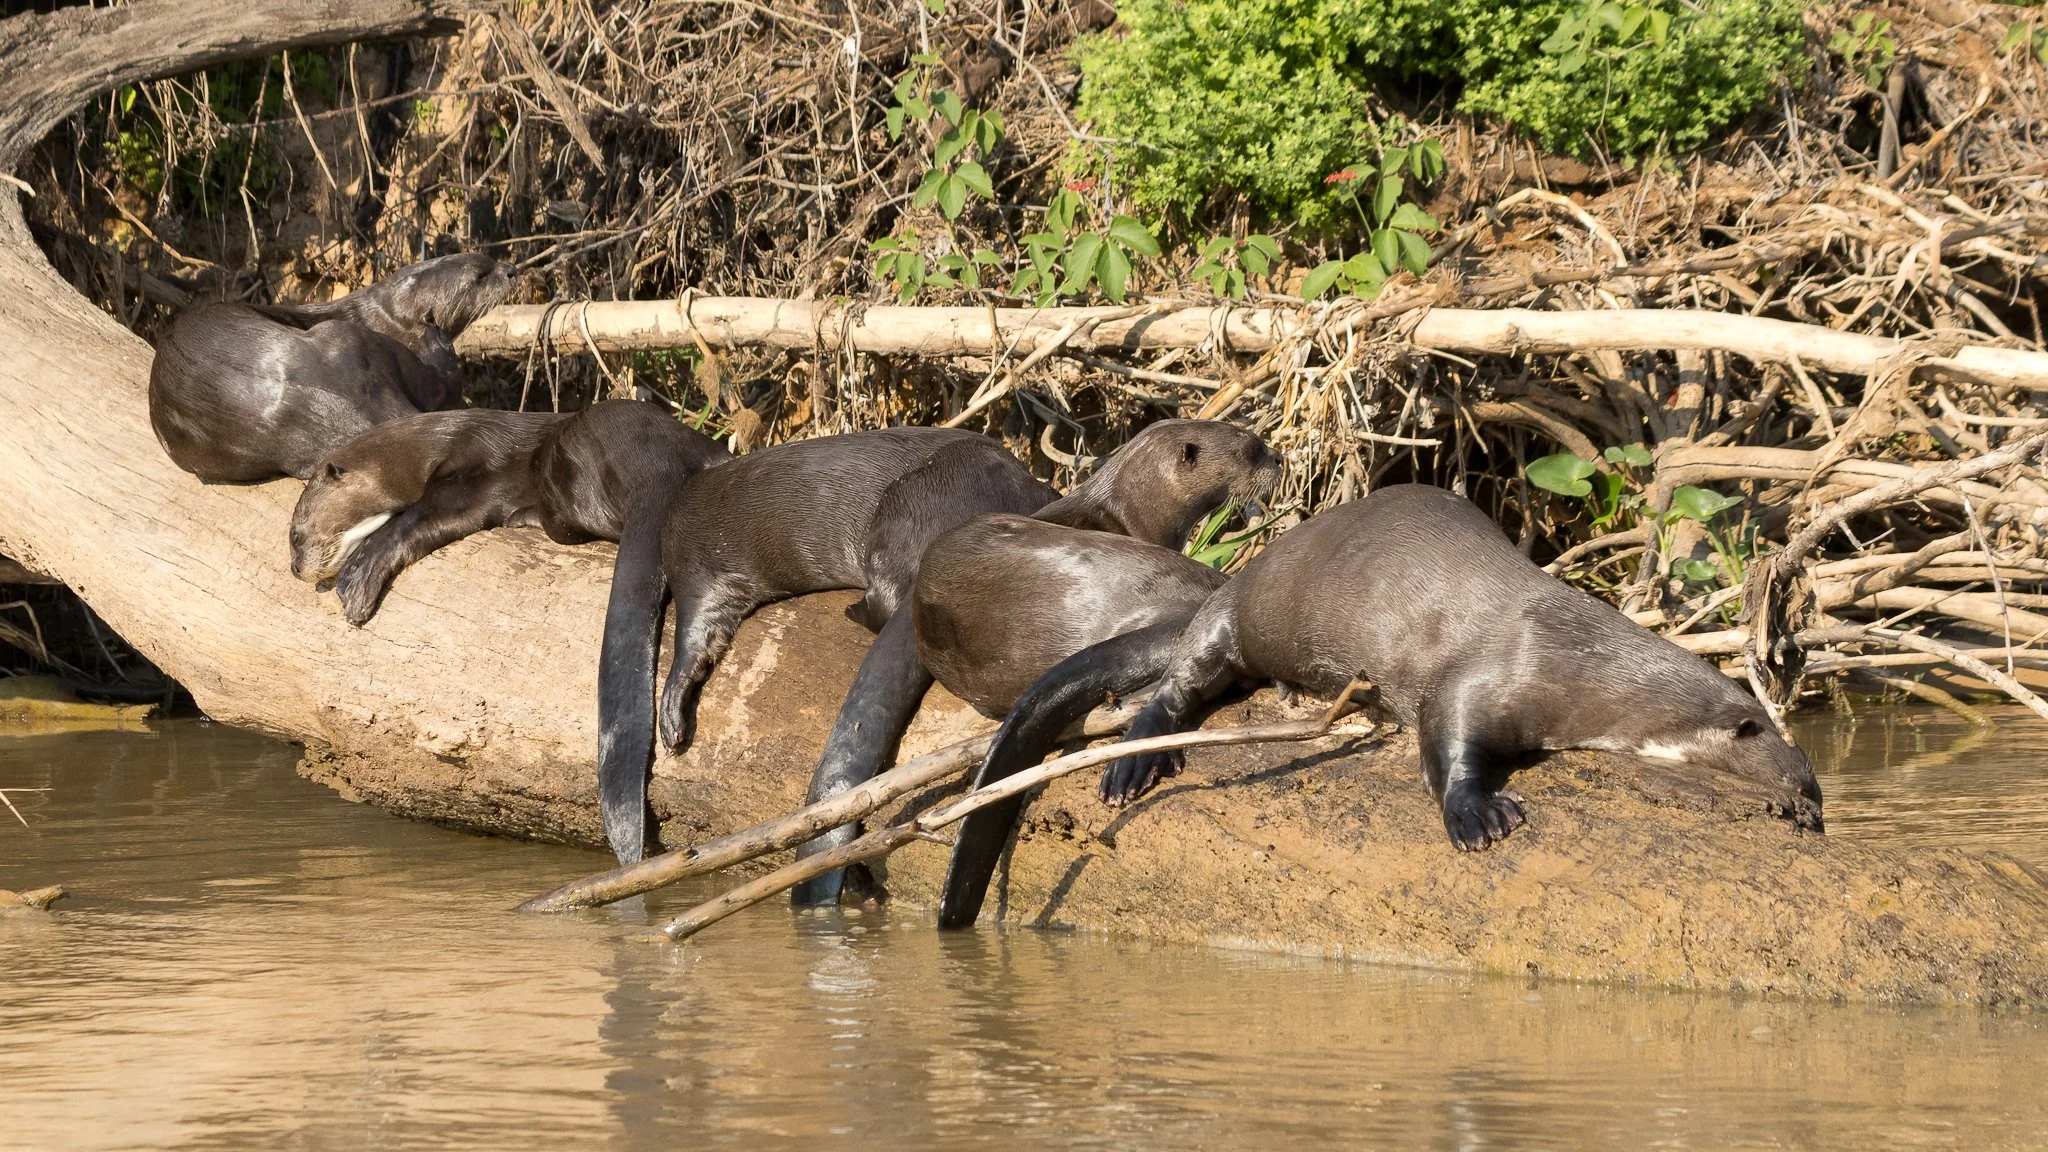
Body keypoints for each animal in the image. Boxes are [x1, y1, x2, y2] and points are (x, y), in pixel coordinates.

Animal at [290, 400, 727, 625]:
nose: (294, 569)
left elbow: (412, 519)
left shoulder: (472, 472)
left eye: (295, 534)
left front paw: (359, 576)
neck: (431, 444)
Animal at [1076, 484, 1822, 857]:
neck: (1585, 661)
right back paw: (1132, 764)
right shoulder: (1484, 675)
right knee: (1178, 684)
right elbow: (1446, 738)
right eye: (1802, 780)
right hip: (1236, 616)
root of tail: (1237, 573)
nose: (1816, 809)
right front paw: (1478, 815)